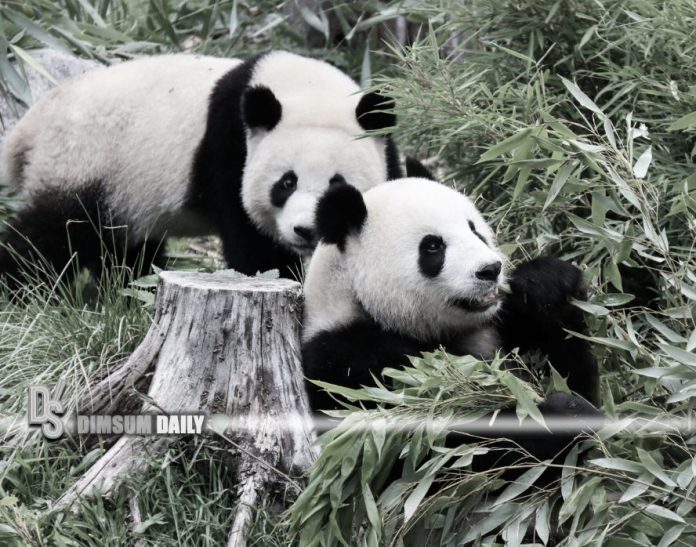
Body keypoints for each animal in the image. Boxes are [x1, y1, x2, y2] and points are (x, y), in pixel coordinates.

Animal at [0, 51, 400, 284]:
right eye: (286, 183)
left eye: (336, 183)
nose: (306, 231)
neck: (305, 89)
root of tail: (30, 124)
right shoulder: (231, 146)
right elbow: (253, 244)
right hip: (83, 161)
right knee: (53, 232)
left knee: (123, 248)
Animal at [301, 160, 601, 469]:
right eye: (433, 246)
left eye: (474, 230)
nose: (490, 269)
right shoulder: (351, 362)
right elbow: (428, 448)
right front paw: (566, 415)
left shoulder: (502, 327)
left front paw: (546, 284)